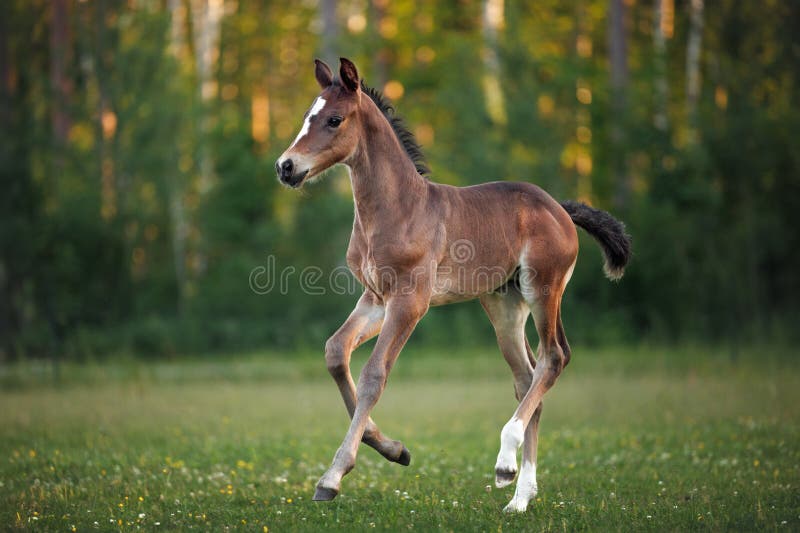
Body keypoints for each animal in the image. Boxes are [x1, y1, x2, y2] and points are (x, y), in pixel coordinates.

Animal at [275, 57, 631, 513]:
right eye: (308, 115)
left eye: (334, 119)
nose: (286, 167)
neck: (397, 208)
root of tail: (561, 209)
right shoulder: (376, 298)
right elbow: (336, 353)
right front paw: (394, 449)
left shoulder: (411, 300)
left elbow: (375, 374)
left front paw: (333, 476)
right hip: (504, 307)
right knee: (526, 377)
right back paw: (520, 494)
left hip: (543, 289)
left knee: (554, 358)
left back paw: (505, 462)